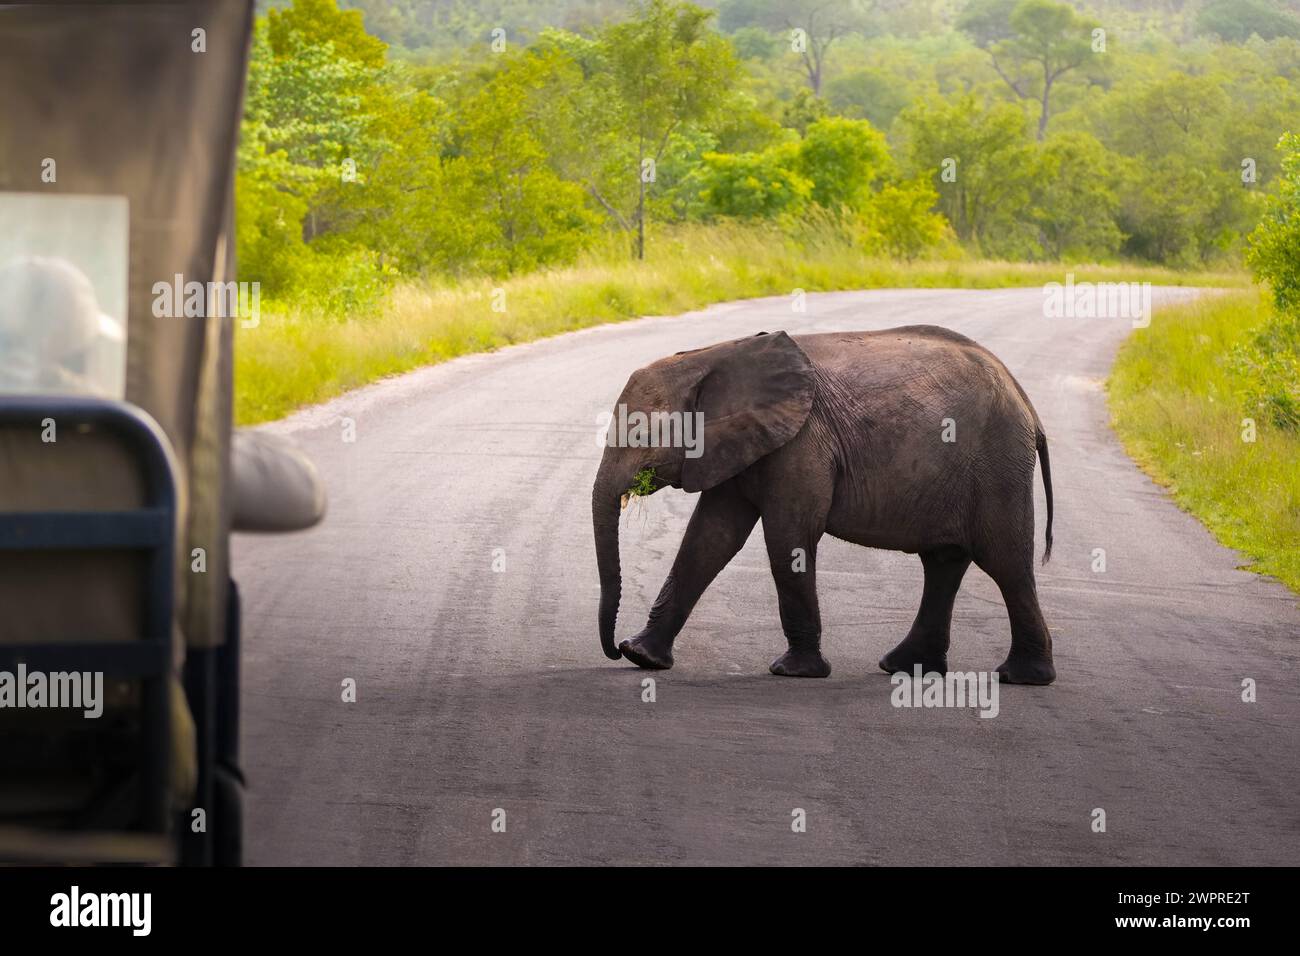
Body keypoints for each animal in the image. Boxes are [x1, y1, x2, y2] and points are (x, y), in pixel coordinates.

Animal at [592, 327, 1056, 684]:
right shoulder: (739, 446)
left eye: (640, 435)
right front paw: (642, 657)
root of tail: (1028, 405)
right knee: (944, 564)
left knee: (1006, 563)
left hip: (999, 466)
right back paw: (904, 669)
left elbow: (788, 540)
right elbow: (708, 541)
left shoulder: (802, 444)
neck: (715, 355)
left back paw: (1022, 677)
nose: (612, 650)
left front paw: (793, 672)